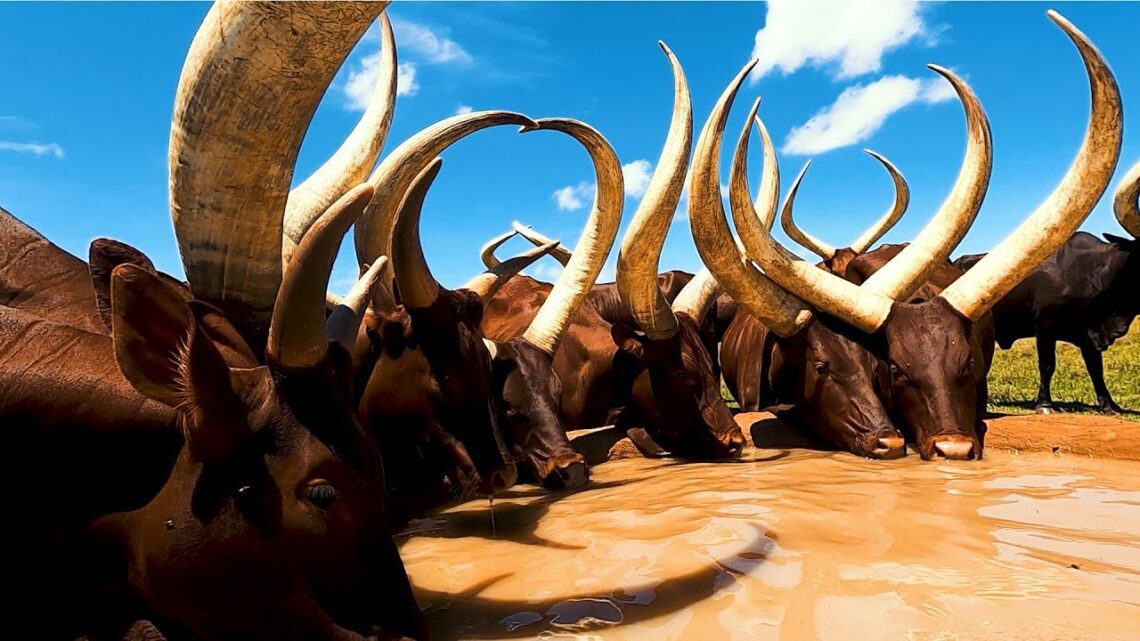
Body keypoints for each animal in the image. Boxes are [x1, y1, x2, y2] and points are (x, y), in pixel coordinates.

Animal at [951, 163, 1140, 413]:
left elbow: (1096, 370)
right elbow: (1048, 365)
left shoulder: (1089, 335)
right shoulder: (1045, 326)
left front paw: (1109, 405)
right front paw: (1044, 404)